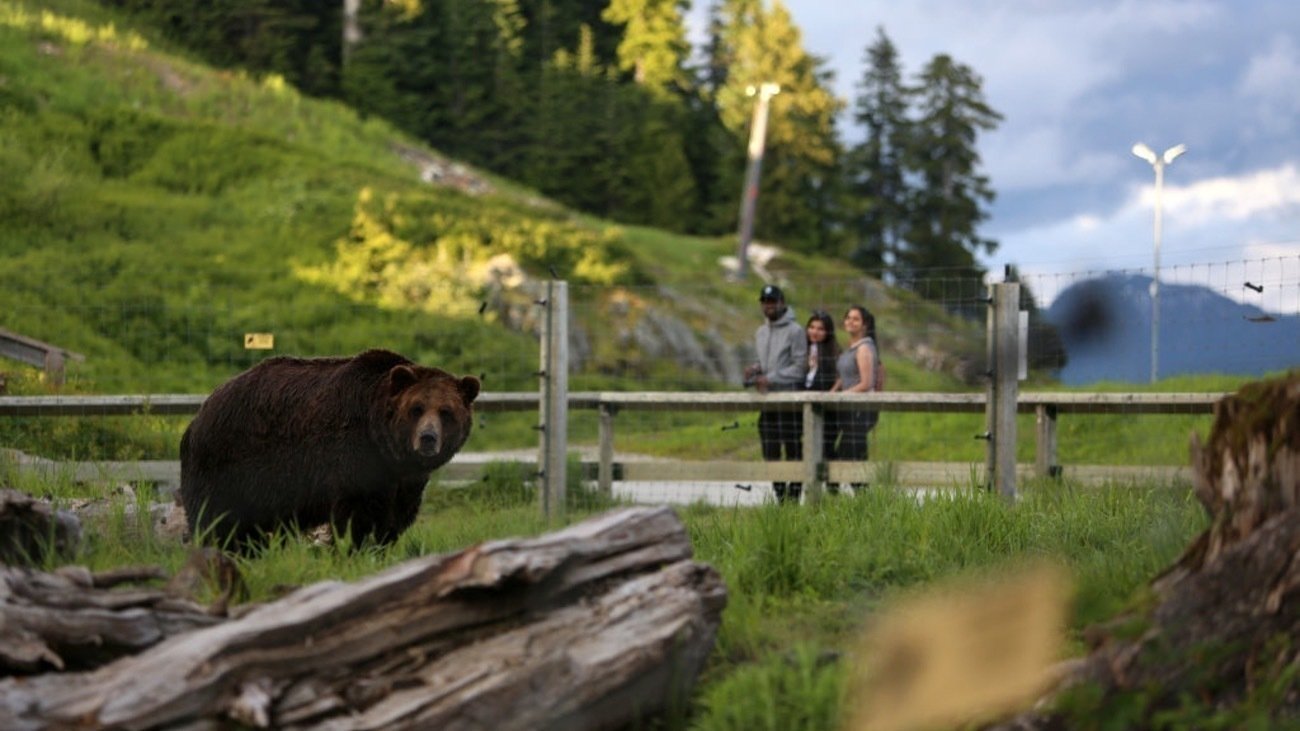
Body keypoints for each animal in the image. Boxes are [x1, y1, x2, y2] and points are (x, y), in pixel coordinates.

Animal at [179, 348, 479, 550]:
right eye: (416, 409)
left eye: (446, 412)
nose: (428, 438)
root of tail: (198, 415)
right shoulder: (353, 456)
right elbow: (358, 515)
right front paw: (355, 550)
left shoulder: (404, 481)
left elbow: (396, 517)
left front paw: (382, 546)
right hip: (228, 463)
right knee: (217, 519)